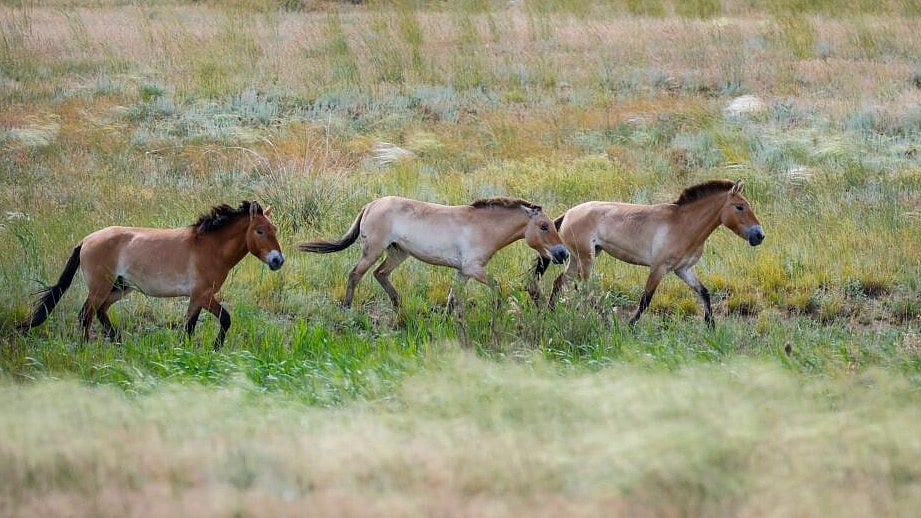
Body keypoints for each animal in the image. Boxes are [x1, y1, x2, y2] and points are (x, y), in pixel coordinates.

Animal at [17, 201, 284, 349]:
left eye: (275, 229)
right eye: (260, 231)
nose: (277, 261)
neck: (210, 247)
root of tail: (86, 240)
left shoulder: (198, 298)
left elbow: (193, 325)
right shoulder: (202, 295)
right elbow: (217, 321)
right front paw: (212, 349)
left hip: (120, 288)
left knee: (101, 312)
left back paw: (118, 343)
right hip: (100, 287)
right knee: (86, 315)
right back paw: (86, 348)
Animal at [297, 196, 570, 313]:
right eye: (544, 226)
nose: (563, 253)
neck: (483, 226)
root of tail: (371, 204)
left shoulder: (463, 272)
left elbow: (453, 297)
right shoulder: (473, 269)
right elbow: (496, 287)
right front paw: (498, 311)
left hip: (398, 253)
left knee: (380, 274)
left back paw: (398, 304)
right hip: (373, 250)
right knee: (356, 274)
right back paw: (346, 307)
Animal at [530, 180, 764, 327]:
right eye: (740, 207)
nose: (759, 235)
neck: (683, 224)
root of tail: (568, 214)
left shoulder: (683, 270)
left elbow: (704, 293)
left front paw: (711, 326)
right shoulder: (659, 268)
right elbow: (645, 300)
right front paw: (630, 325)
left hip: (579, 258)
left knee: (560, 283)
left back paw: (550, 313)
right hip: (586, 260)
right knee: (586, 289)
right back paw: (606, 320)